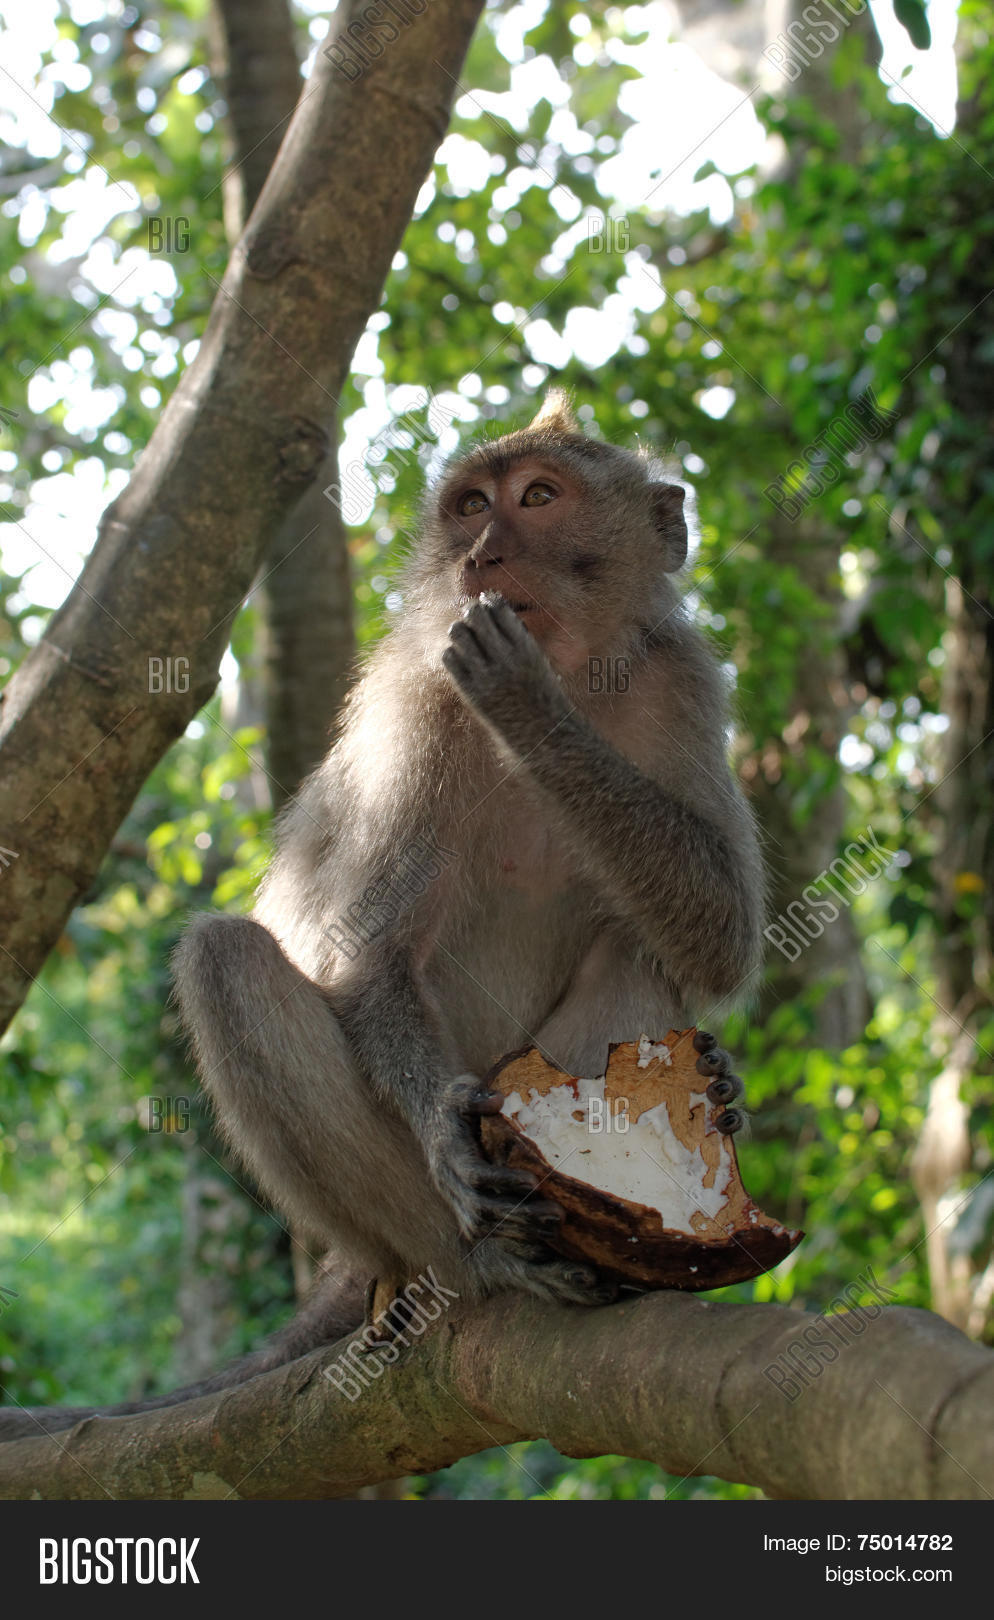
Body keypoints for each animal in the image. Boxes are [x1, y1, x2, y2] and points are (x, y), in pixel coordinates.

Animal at [0, 392, 764, 1438]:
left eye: (537, 497)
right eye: (470, 505)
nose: (480, 552)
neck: (582, 674)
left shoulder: (681, 680)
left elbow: (722, 937)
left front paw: (527, 705)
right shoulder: (420, 707)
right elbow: (371, 957)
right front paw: (446, 1135)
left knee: (640, 948)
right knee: (226, 961)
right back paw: (481, 1265)